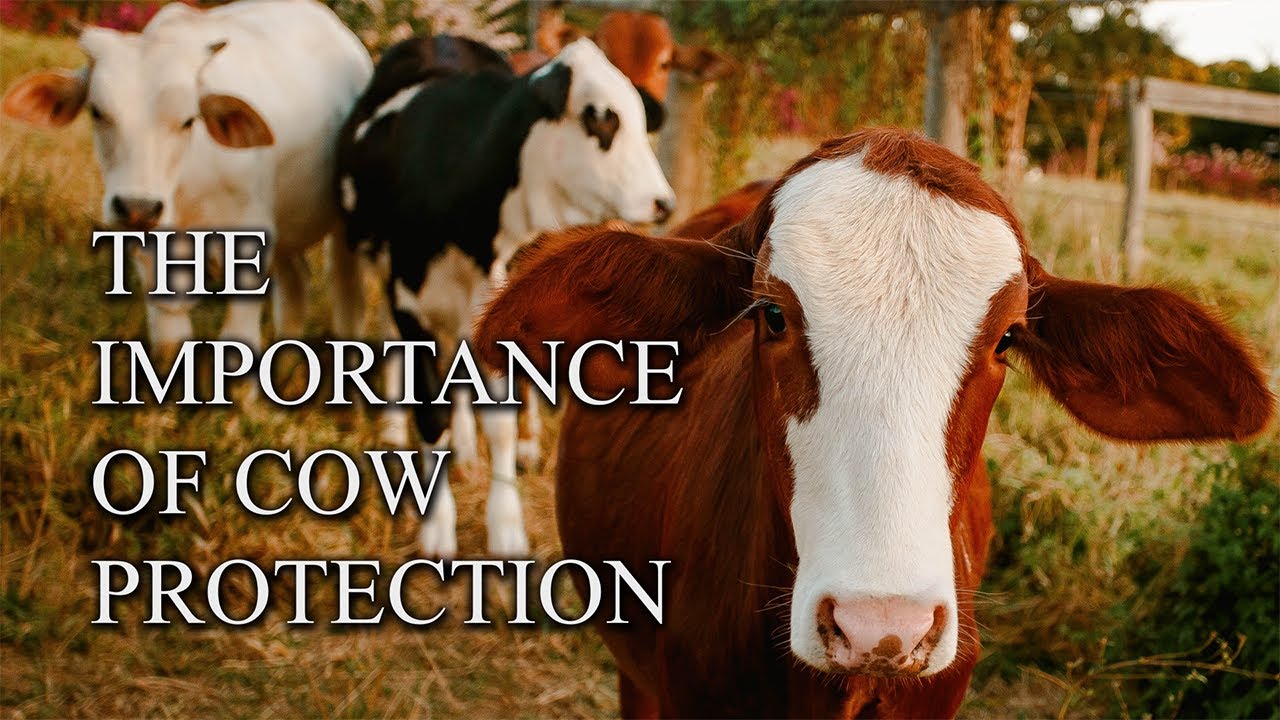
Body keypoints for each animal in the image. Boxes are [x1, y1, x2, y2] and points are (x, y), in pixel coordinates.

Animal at [1, 0, 373, 352]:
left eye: (188, 120)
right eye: (97, 112)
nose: (138, 208)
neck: (185, 187)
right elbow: (170, 338)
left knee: (348, 300)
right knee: (296, 287)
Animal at [338, 36, 676, 557]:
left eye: (642, 121)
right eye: (600, 119)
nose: (663, 203)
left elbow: (499, 424)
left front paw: (505, 525)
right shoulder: (409, 305)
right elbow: (429, 414)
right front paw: (436, 526)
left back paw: (466, 451)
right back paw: (396, 434)